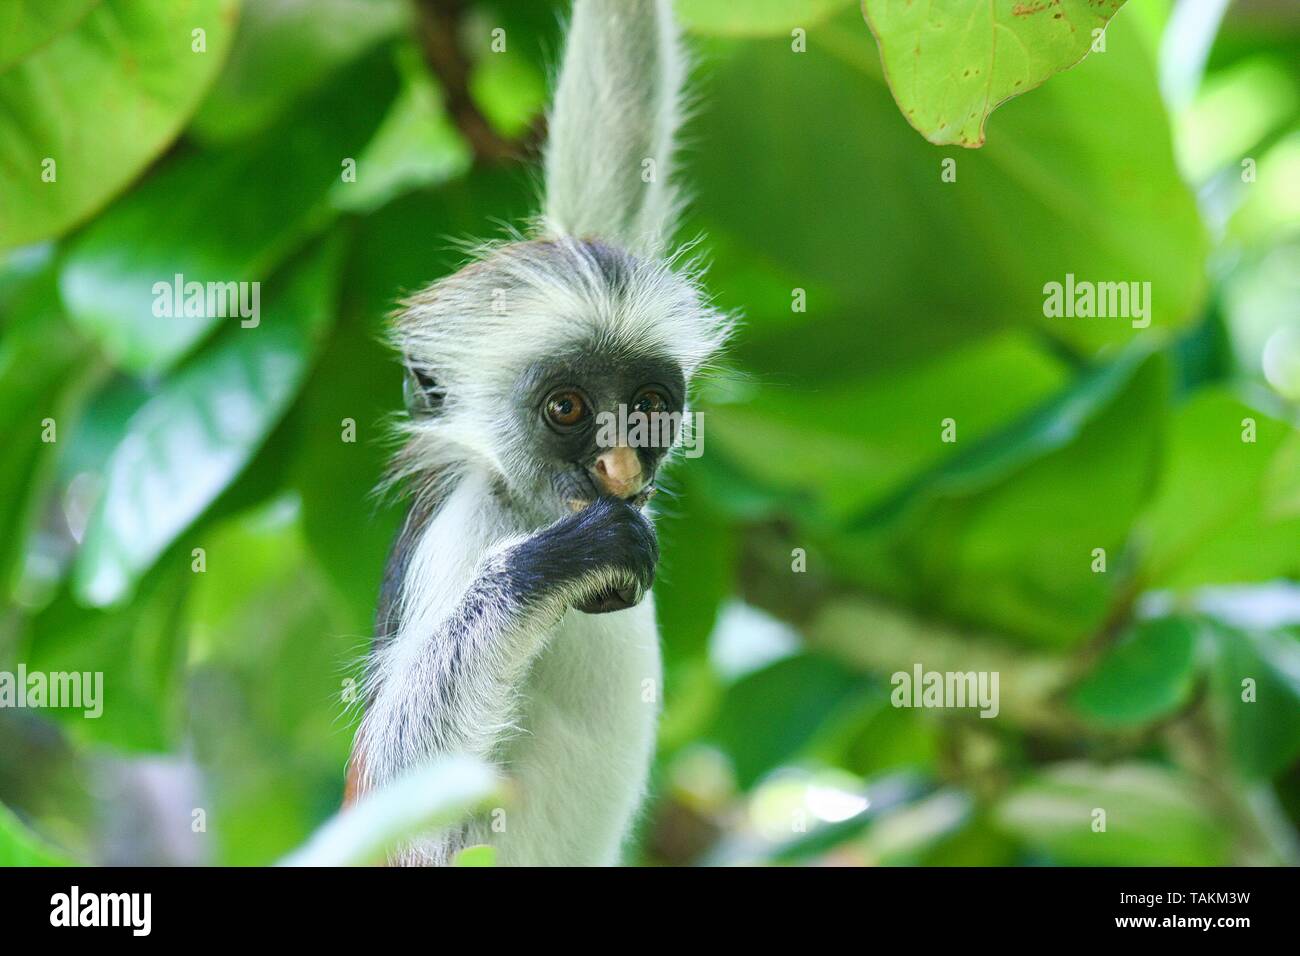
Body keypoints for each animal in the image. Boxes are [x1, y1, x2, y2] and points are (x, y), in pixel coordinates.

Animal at [346, 0, 732, 865]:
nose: (621, 467)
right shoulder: (463, 531)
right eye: (567, 410)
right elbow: (404, 811)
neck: (527, 507)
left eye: (648, 404)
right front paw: (553, 565)